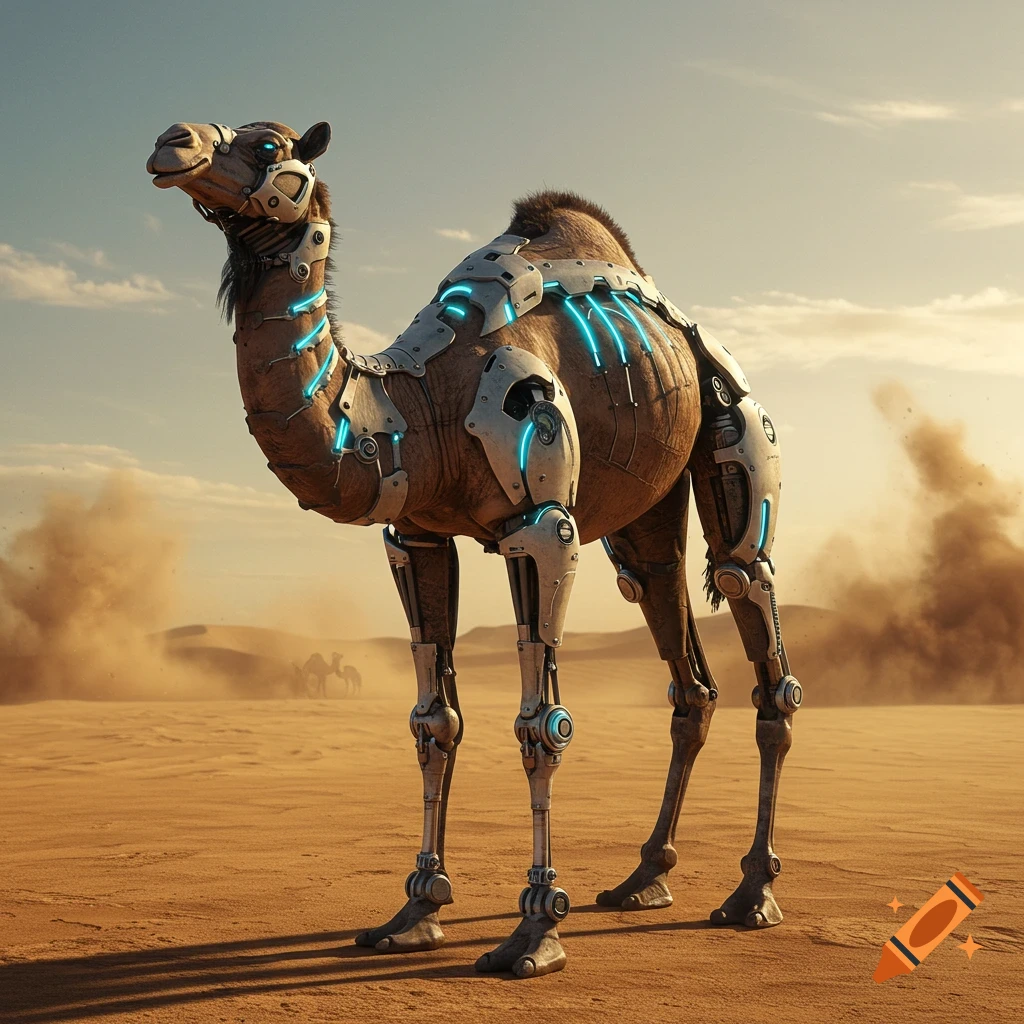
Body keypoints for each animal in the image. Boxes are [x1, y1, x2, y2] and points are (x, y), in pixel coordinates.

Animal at [147, 119, 803, 979]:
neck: (410, 405)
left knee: (750, 612)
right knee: (677, 647)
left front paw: (535, 931)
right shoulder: (417, 535)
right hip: (647, 512)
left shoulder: (542, 525)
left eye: (266, 144)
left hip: (733, 423)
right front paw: (415, 912)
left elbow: (541, 724)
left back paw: (752, 893)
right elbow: (435, 721)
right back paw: (642, 879)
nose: (173, 142)